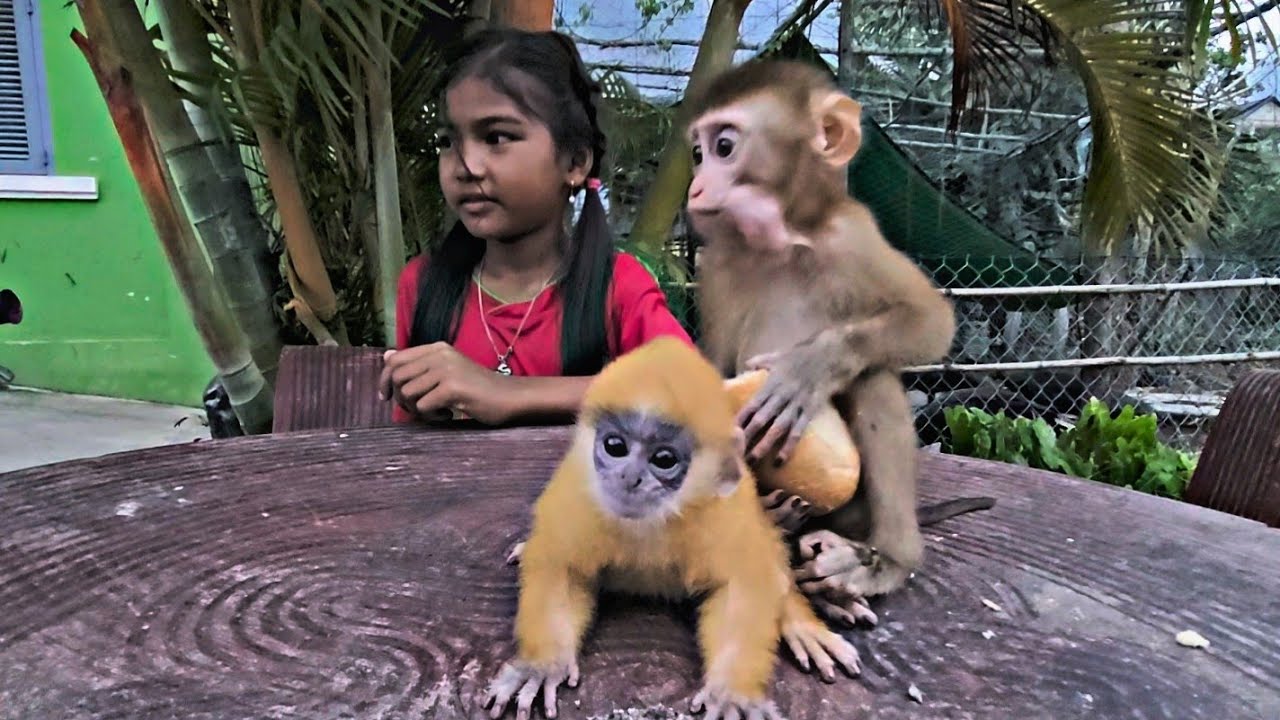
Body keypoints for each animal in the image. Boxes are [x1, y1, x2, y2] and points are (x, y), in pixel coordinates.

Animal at [483, 336, 861, 720]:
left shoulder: (722, 512)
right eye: (615, 446)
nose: (629, 477)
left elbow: (746, 581)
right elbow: (561, 567)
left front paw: (732, 693)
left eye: (663, 459)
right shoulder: (579, 497)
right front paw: (542, 665)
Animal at [682, 59, 985, 626]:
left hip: (852, 511)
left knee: (874, 376)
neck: (779, 243)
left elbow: (930, 320)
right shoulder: (713, 267)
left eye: (724, 147)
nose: (694, 188)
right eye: (696, 154)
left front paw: (809, 369)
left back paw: (885, 559)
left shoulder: (852, 234)